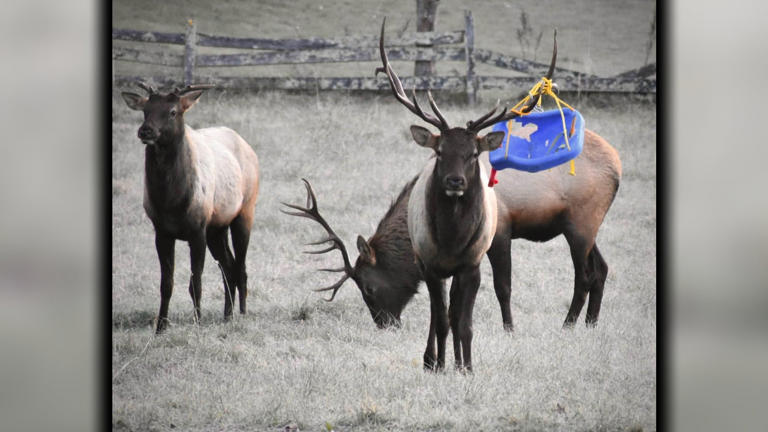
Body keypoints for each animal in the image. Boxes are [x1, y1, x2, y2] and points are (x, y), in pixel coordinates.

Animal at [120, 83, 260, 334]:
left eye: (173, 111)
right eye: (145, 110)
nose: (146, 131)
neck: (171, 202)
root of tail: (248, 146)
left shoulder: (197, 229)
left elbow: (195, 282)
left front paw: (197, 323)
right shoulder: (162, 231)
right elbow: (166, 283)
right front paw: (161, 326)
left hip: (245, 211)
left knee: (241, 266)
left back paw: (242, 313)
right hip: (217, 227)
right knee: (229, 266)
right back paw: (227, 315)